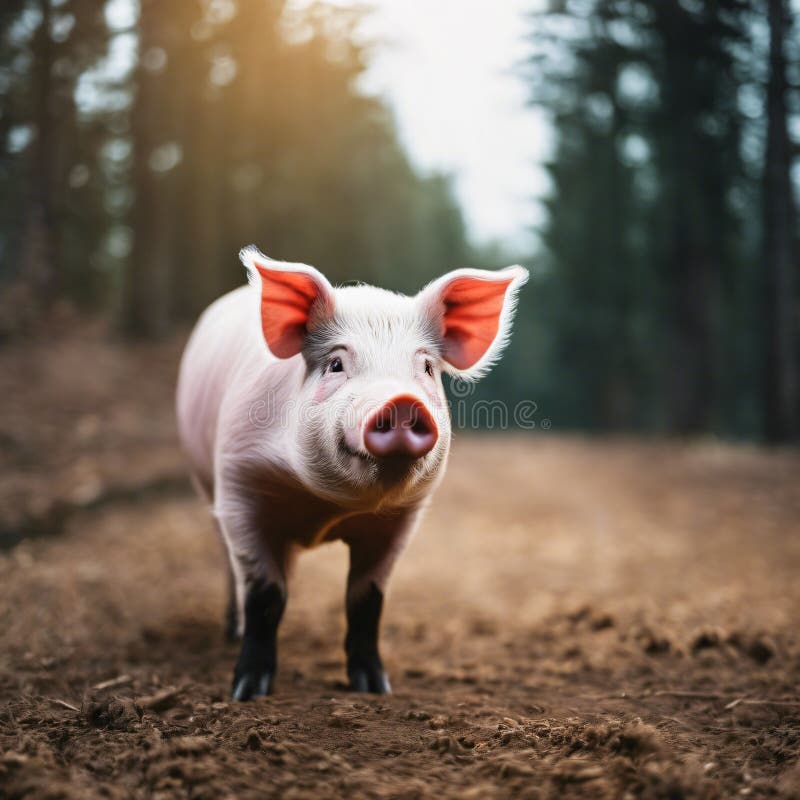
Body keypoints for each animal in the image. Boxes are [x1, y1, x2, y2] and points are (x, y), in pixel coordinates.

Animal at [176, 245, 528, 700]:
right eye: (336, 364)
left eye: (427, 369)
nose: (402, 402)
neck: (323, 509)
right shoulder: (239, 484)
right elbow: (264, 594)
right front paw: (247, 692)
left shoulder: (402, 518)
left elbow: (366, 600)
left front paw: (375, 688)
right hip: (208, 487)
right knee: (230, 564)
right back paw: (230, 633)